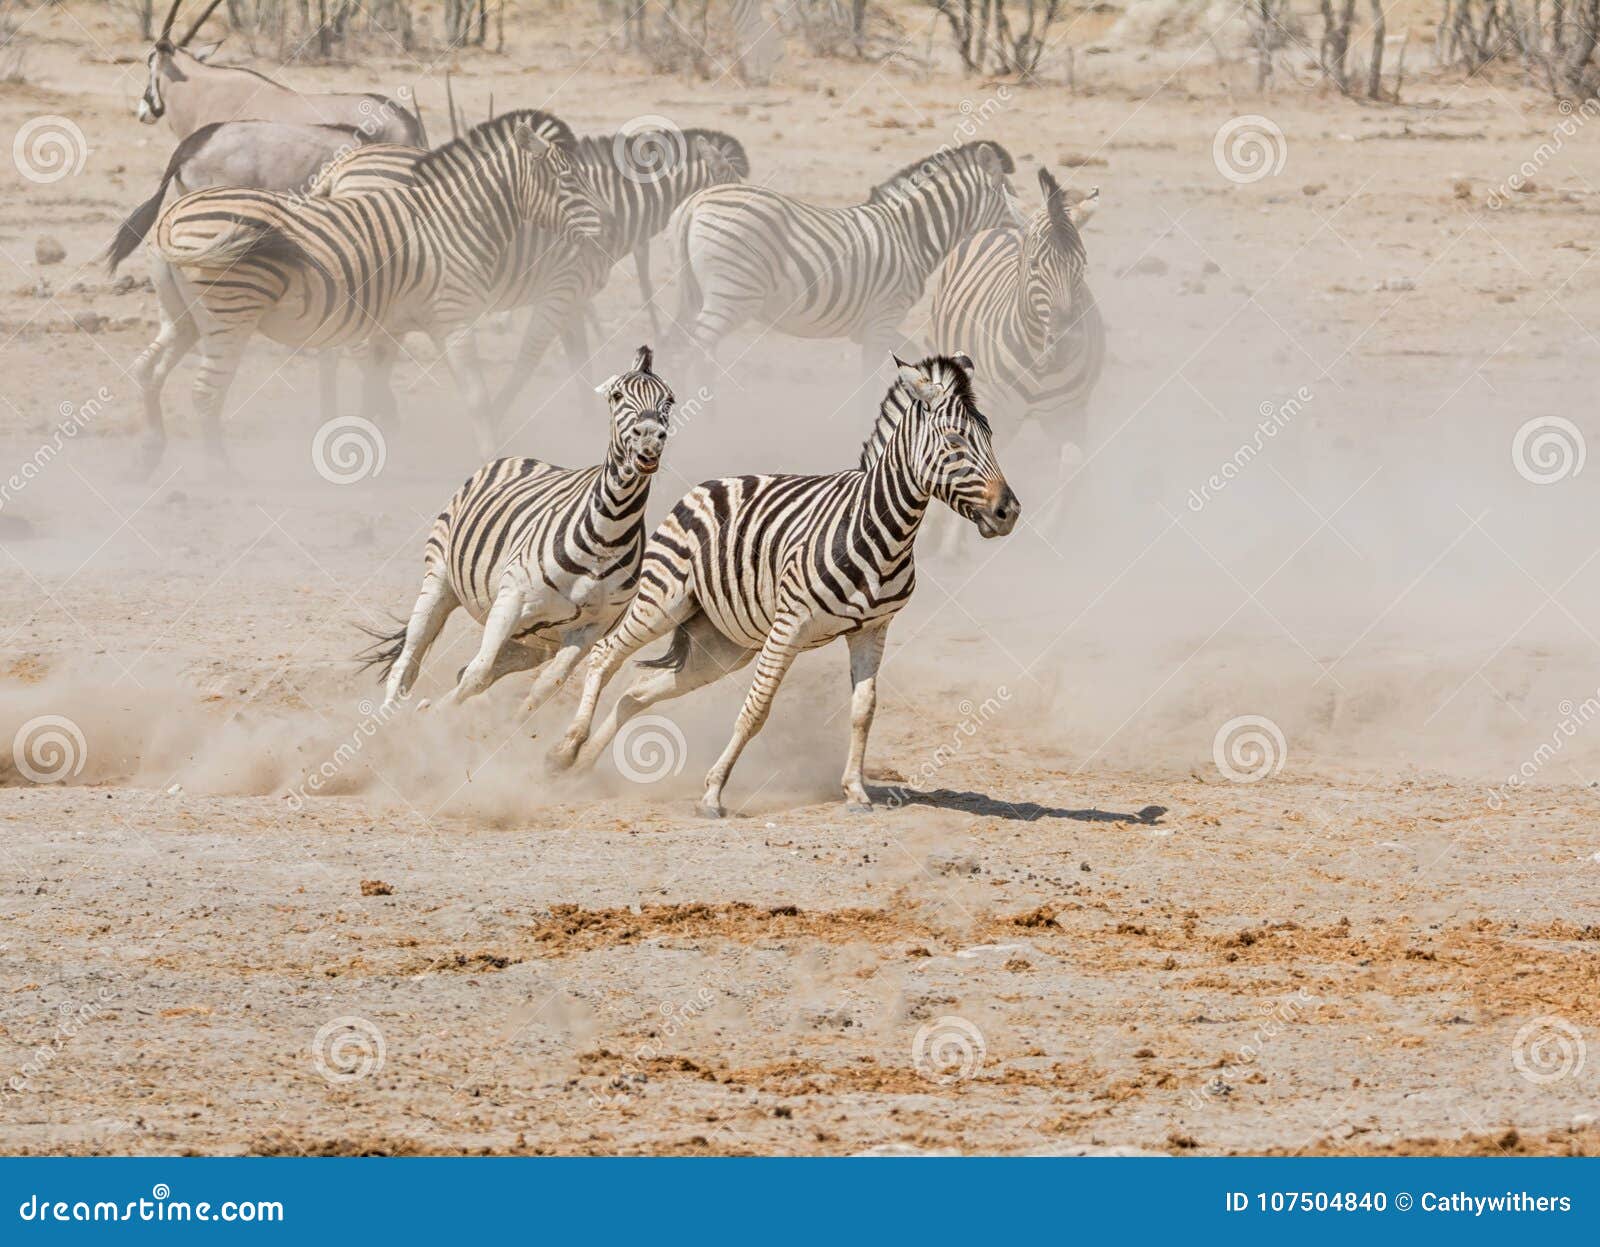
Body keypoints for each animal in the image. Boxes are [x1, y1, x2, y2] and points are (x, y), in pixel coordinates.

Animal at [129, 110, 600, 476]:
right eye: (566, 180)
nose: (602, 230)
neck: (455, 222)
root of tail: (172, 216)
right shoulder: (453, 316)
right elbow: (477, 396)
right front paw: (490, 459)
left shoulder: (392, 325)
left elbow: (374, 388)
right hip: (230, 315)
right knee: (205, 394)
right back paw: (222, 474)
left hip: (182, 315)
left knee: (148, 370)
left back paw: (148, 456)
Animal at [359, 346, 675, 716]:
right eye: (617, 396)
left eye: (669, 400)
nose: (650, 437)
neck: (607, 533)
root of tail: (520, 458)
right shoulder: (511, 601)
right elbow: (478, 674)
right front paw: (436, 719)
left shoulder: (590, 629)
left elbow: (543, 688)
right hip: (440, 580)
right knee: (407, 664)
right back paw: (389, 721)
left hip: (533, 644)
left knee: (467, 670)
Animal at [547, 353, 1020, 818]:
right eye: (955, 442)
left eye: (989, 437)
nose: (1009, 512)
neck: (882, 531)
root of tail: (710, 484)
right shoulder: (790, 625)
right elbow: (756, 710)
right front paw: (712, 793)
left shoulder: (872, 630)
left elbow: (863, 711)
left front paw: (855, 791)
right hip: (664, 600)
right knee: (605, 656)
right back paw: (566, 750)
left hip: (722, 645)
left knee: (637, 692)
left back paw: (585, 764)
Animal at [669, 141, 1021, 372]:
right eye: (1012, 200)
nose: (1024, 237)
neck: (910, 235)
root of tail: (696, 203)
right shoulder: (883, 318)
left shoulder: (870, 327)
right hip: (732, 294)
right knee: (693, 355)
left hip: (695, 294)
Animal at [931, 168, 1105, 478]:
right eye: (1034, 265)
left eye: (1082, 265)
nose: (1067, 344)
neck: (1042, 365)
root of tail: (1003, 228)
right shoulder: (994, 412)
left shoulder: (1070, 416)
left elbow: (1072, 470)